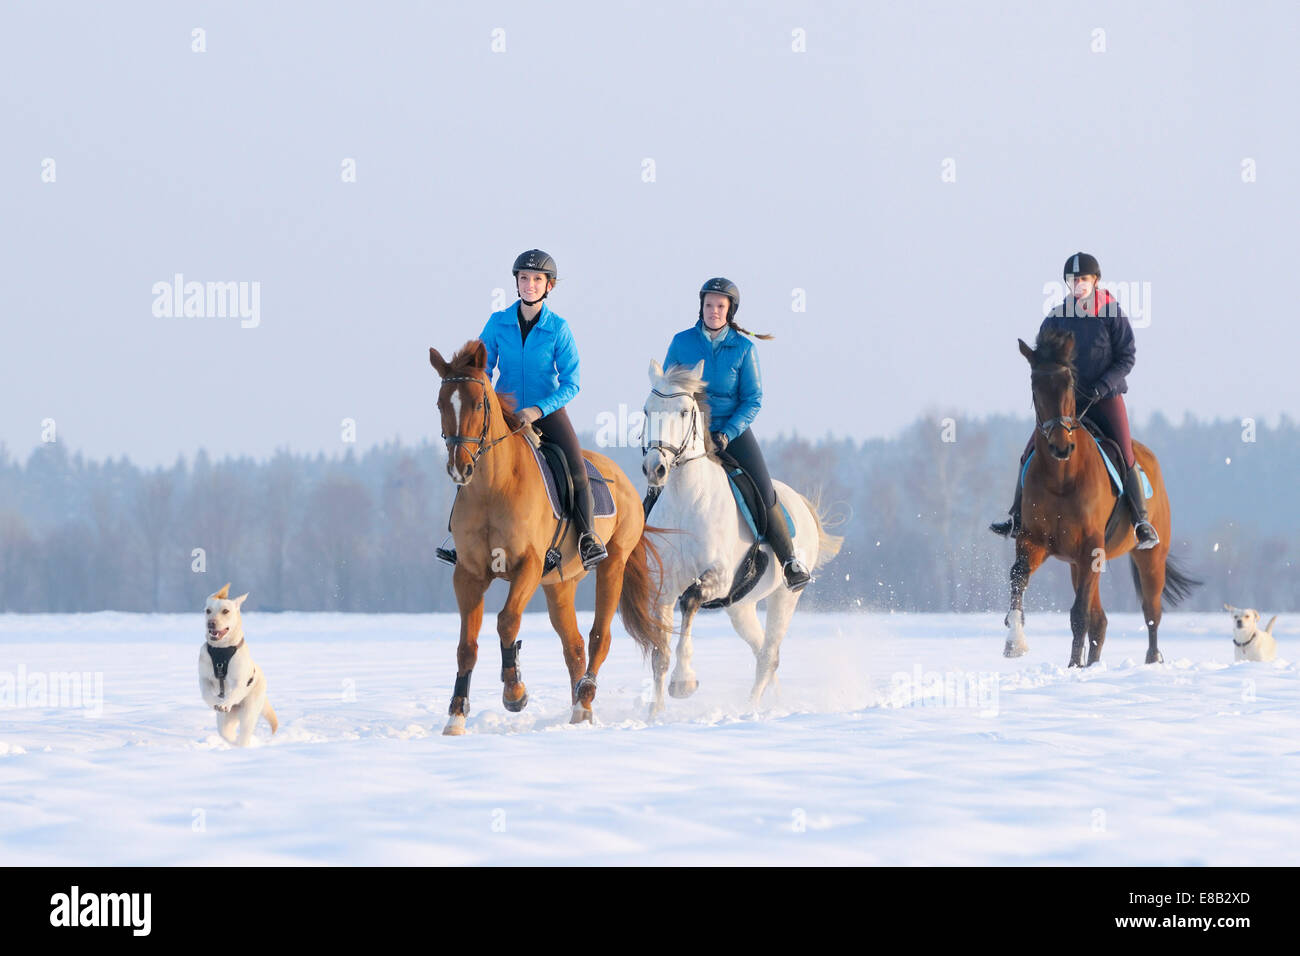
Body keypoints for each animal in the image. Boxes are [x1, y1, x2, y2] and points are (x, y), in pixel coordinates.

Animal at [429, 340, 667, 734]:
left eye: (477, 404)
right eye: (440, 403)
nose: (459, 468)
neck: (493, 488)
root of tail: (626, 481)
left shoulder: (527, 565)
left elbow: (507, 621)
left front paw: (515, 691)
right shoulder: (468, 575)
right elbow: (467, 646)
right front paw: (456, 716)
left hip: (612, 566)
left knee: (599, 638)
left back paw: (584, 700)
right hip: (559, 585)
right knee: (574, 646)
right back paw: (578, 711)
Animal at [640, 359, 843, 714]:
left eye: (683, 411)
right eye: (647, 410)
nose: (655, 467)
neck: (686, 500)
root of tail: (802, 504)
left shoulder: (718, 577)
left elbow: (689, 601)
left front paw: (684, 682)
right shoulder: (663, 588)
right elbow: (659, 656)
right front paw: (654, 714)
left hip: (784, 597)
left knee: (769, 655)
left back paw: (751, 709)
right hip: (741, 607)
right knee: (764, 653)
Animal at [1004, 329, 1199, 667]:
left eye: (1069, 383)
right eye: (1034, 385)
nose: (1060, 446)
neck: (1062, 477)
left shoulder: (1090, 548)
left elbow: (1079, 614)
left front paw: (1072, 667)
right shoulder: (1034, 540)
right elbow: (1018, 577)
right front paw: (1015, 642)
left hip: (1149, 558)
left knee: (1151, 613)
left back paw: (1151, 661)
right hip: (1077, 563)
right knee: (1102, 620)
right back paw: (1093, 664)